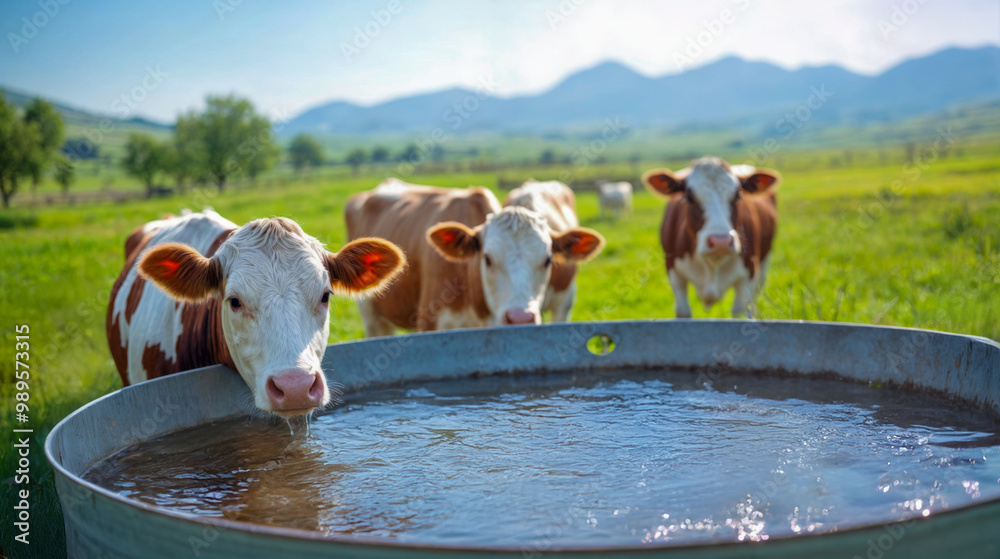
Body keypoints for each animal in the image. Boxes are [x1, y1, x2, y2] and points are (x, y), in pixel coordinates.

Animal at [642, 157, 780, 319]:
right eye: (689, 197)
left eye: (738, 195)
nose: (720, 242)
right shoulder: (674, 272)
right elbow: (683, 311)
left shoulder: (749, 275)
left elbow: (741, 312)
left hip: (764, 262)